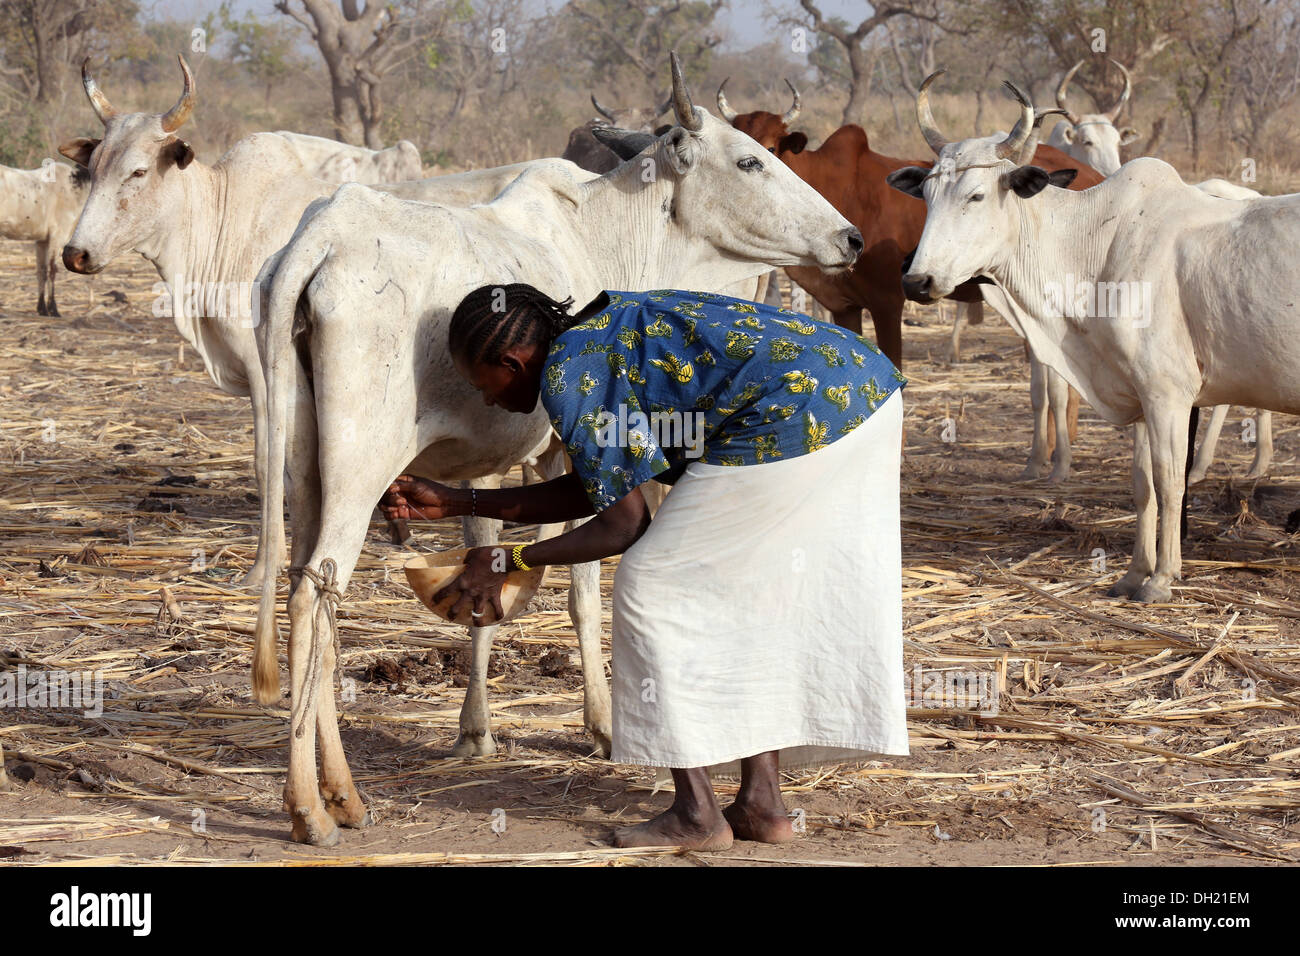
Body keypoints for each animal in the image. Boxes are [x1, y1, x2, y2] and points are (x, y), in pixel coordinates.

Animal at [0, 161, 88, 316]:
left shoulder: (42, 241)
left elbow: (41, 271)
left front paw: (41, 308)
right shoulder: (58, 235)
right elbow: (52, 270)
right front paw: (53, 309)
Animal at [889, 73, 1300, 604]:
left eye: (976, 196)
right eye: (927, 194)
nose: (916, 280)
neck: (1098, 243)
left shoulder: (1168, 394)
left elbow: (1171, 481)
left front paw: (1162, 578)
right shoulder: (1139, 396)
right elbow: (1143, 484)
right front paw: (1133, 573)